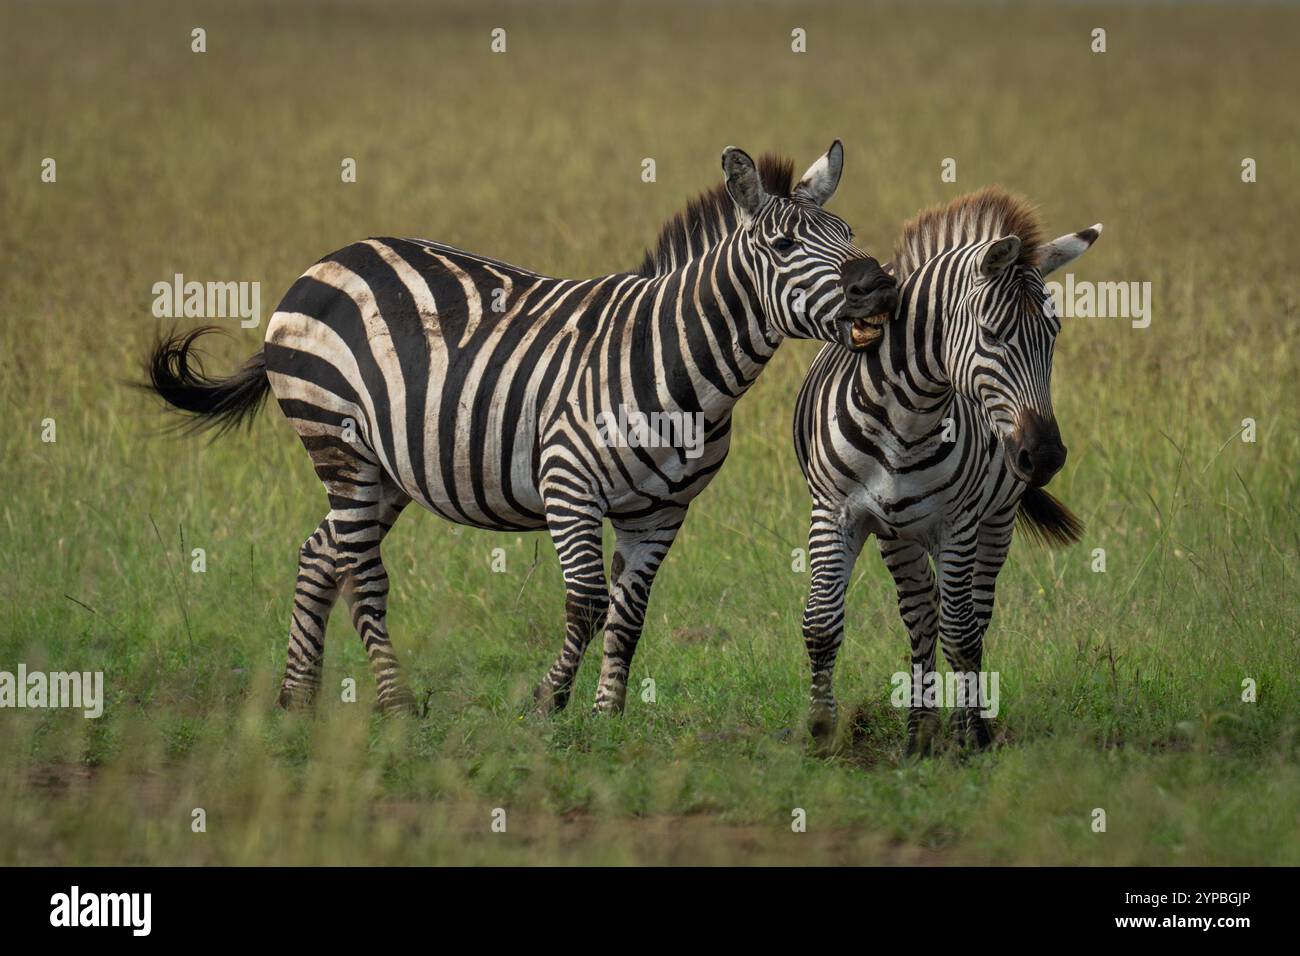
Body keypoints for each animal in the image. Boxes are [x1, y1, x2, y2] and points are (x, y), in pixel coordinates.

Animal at [144, 141, 899, 716]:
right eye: (784, 244)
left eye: (847, 237)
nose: (879, 286)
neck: (680, 363)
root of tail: (326, 261)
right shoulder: (568, 483)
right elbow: (587, 604)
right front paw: (549, 702)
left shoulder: (662, 510)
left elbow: (629, 615)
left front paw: (608, 715)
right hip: (338, 442)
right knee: (361, 572)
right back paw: (394, 704)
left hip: (386, 470)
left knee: (319, 554)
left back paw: (298, 697)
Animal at [792, 187, 1100, 755]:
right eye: (992, 334)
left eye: (1054, 334)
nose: (1044, 456)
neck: (906, 419)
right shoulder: (834, 511)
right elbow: (822, 623)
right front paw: (822, 736)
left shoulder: (959, 522)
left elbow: (962, 631)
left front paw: (970, 736)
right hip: (899, 534)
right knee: (920, 614)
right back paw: (918, 733)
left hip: (994, 522)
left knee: (973, 613)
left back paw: (961, 723)